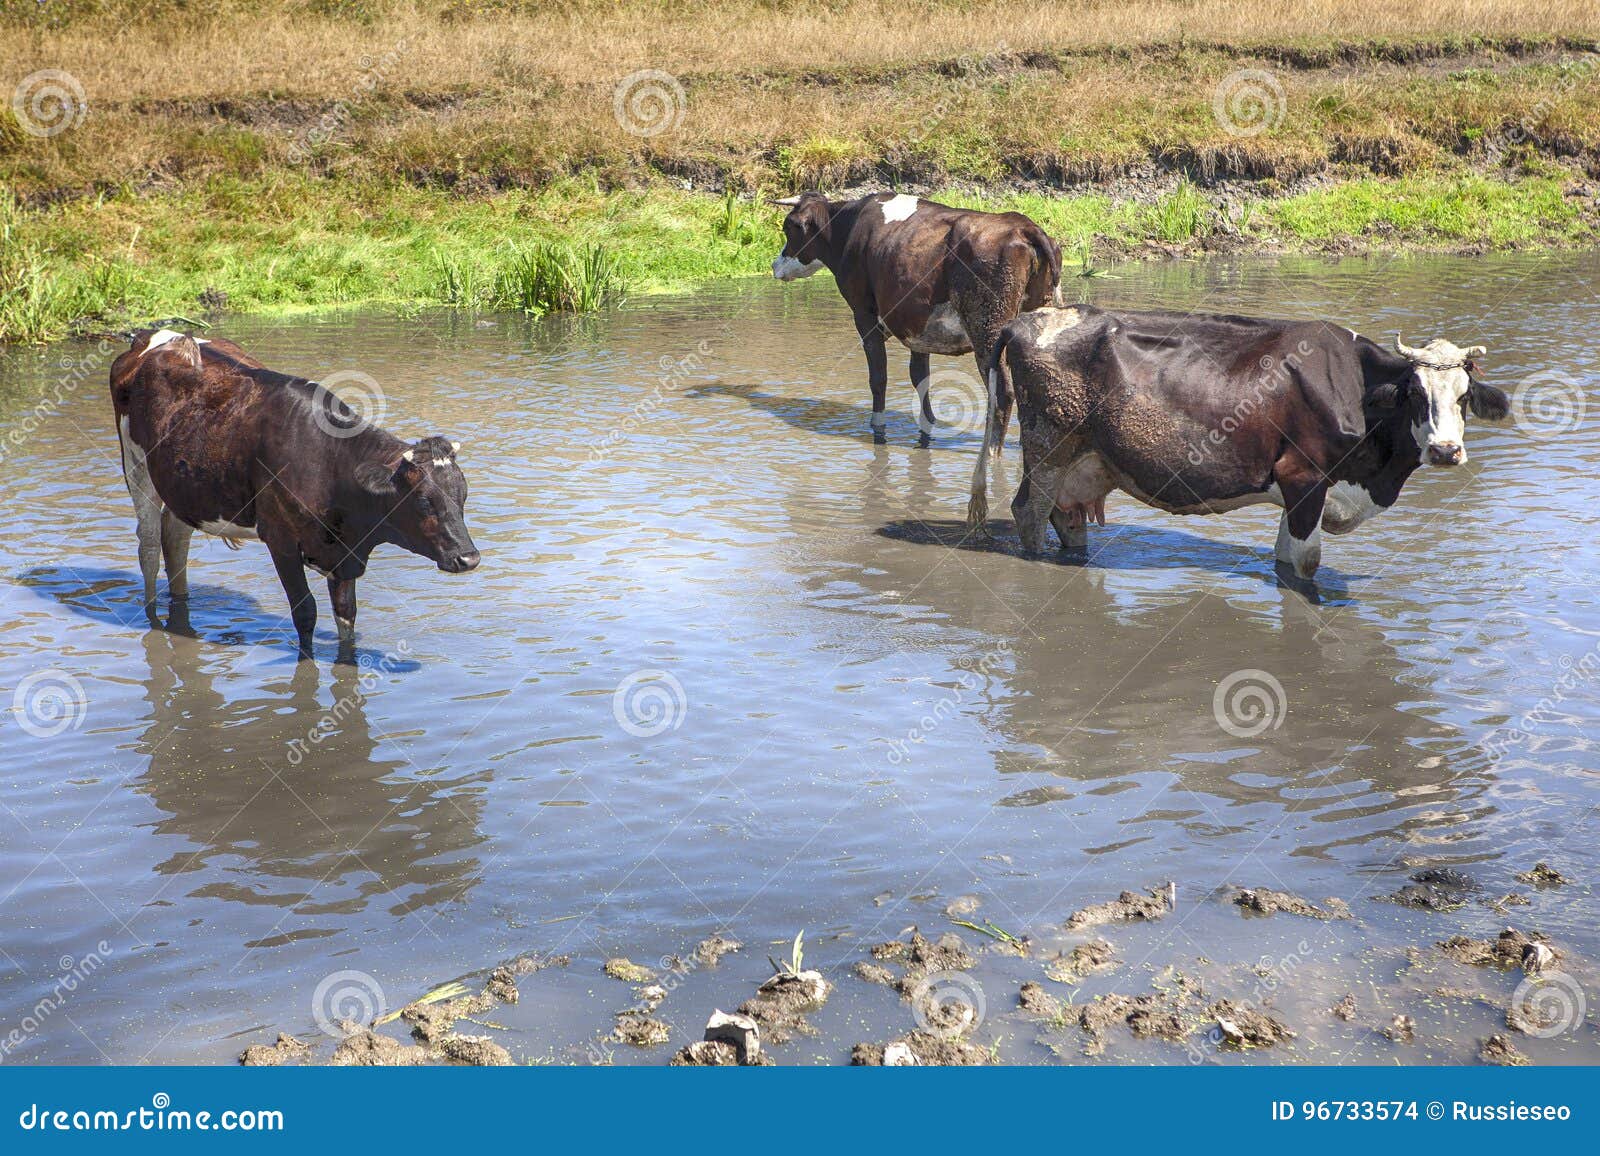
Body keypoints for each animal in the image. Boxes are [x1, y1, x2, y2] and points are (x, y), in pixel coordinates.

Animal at [110, 329, 480, 658]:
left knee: (175, 537)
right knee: (149, 547)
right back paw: (152, 615)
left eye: (462, 497)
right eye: (423, 502)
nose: (469, 558)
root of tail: (156, 337)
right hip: (137, 466)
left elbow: (347, 615)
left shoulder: (343, 554)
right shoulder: (281, 541)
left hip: (184, 486)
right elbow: (305, 614)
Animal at [771, 191, 1061, 445]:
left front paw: (877, 426)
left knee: (1002, 392)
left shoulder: (863, 313)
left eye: (788, 228)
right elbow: (920, 377)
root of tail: (1024, 226)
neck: (848, 229)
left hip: (987, 329)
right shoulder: (918, 325)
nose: (774, 265)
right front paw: (928, 424)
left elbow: (879, 376)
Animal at [966, 306, 1510, 580]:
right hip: (1048, 445)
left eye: (1464, 396)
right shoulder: (1303, 476)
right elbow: (1307, 562)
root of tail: (1030, 318)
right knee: (1029, 513)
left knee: (1067, 516)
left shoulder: (1299, 491)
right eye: (1415, 393)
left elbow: (1285, 557)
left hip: (1087, 461)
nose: (1445, 451)